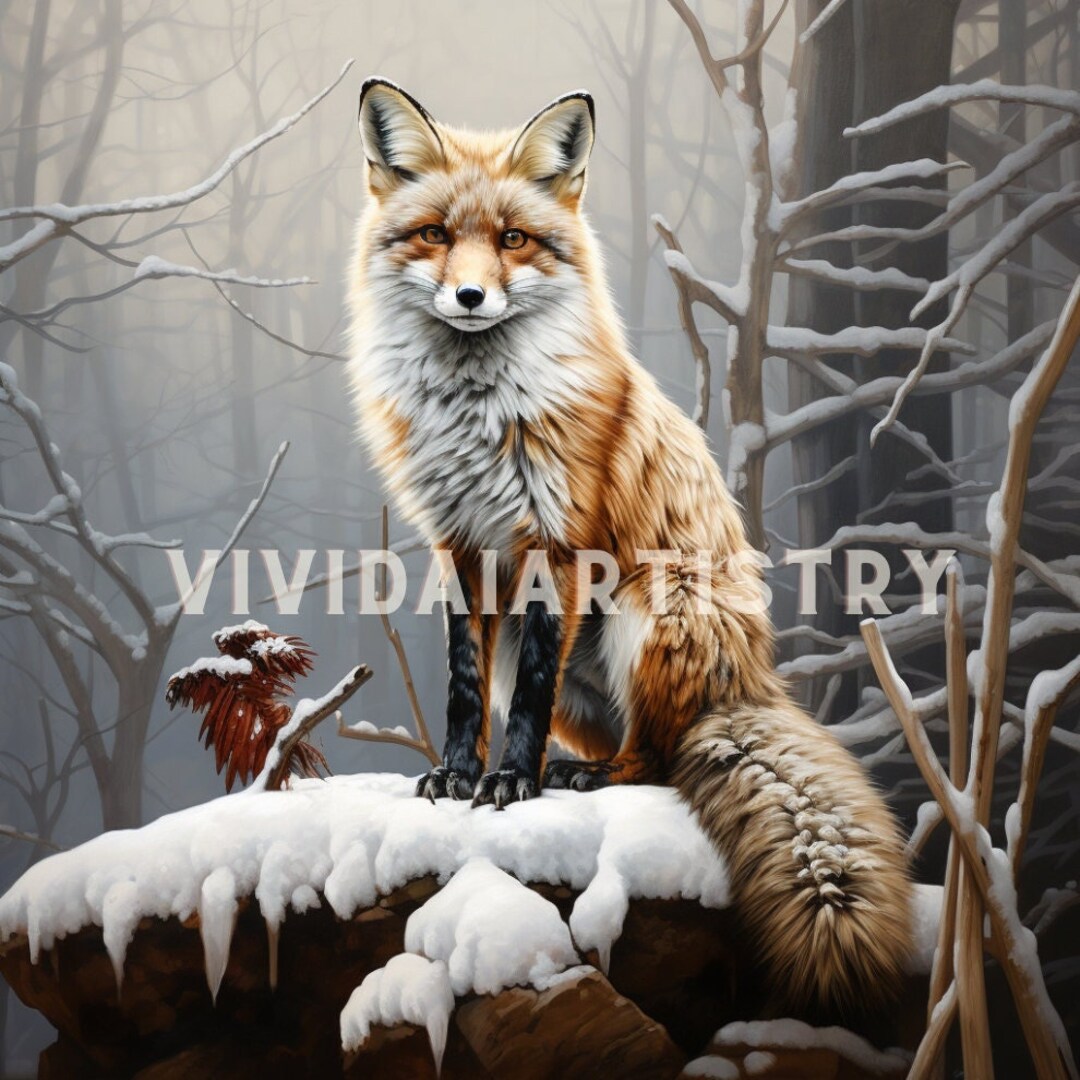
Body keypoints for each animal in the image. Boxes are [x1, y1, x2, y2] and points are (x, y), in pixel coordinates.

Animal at [346, 77, 913, 1016]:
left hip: (652, 612)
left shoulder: (559, 542)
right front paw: (458, 775)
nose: (470, 299)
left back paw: (581, 777)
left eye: (513, 239)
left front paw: (510, 783)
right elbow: (466, 683)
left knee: (655, 762)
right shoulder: (460, 545)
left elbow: (528, 696)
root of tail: (750, 685)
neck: (477, 413)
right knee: (634, 747)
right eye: (435, 235)